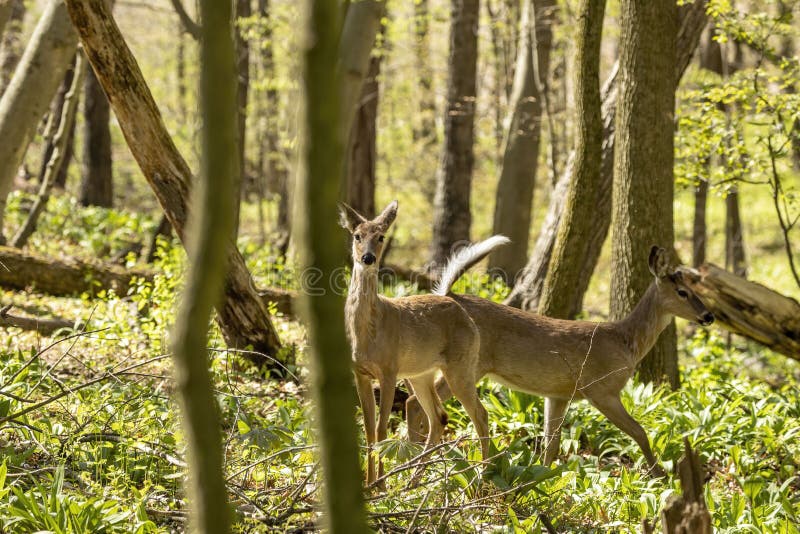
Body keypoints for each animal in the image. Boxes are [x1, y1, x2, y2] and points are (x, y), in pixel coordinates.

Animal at [339, 200, 510, 484]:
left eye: (381, 236)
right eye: (357, 236)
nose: (368, 258)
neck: (368, 333)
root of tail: (461, 310)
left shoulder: (389, 370)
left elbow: (381, 427)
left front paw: (380, 485)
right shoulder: (360, 372)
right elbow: (369, 428)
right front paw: (368, 483)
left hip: (461, 366)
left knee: (480, 414)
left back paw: (481, 477)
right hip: (421, 374)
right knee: (439, 417)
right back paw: (414, 479)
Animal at [408, 246, 714, 476]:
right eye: (683, 292)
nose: (709, 316)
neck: (626, 341)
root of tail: (449, 293)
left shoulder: (558, 395)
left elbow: (551, 444)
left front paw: (541, 477)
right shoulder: (601, 389)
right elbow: (639, 432)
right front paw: (659, 475)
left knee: (416, 401)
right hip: (469, 367)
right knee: (421, 403)